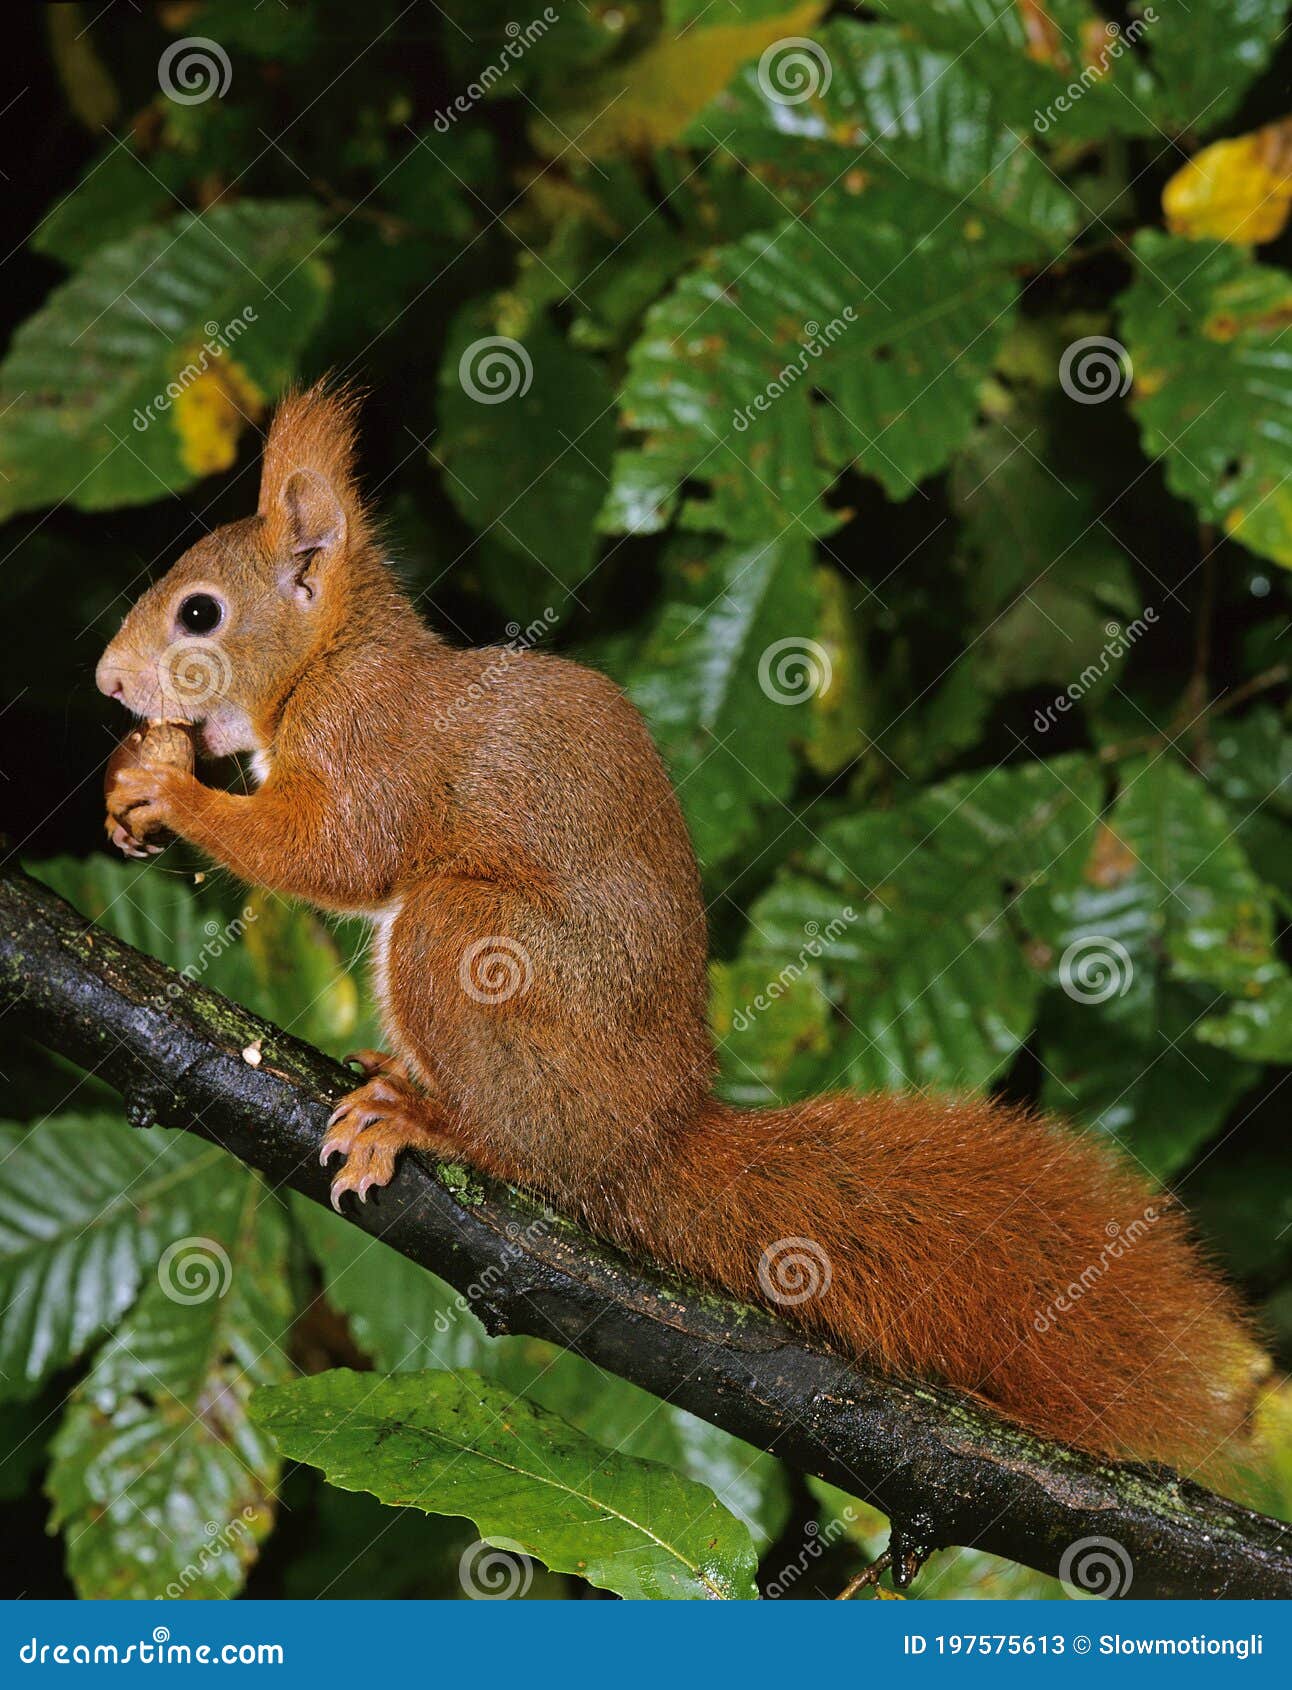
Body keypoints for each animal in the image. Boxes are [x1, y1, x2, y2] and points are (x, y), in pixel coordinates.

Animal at [98, 381, 1262, 1483]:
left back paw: (431, 1121)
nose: (108, 681)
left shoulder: (372, 748)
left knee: (529, 1146)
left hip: (468, 943)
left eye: (199, 612)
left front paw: (167, 789)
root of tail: (650, 1135)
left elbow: (332, 855)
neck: (329, 660)